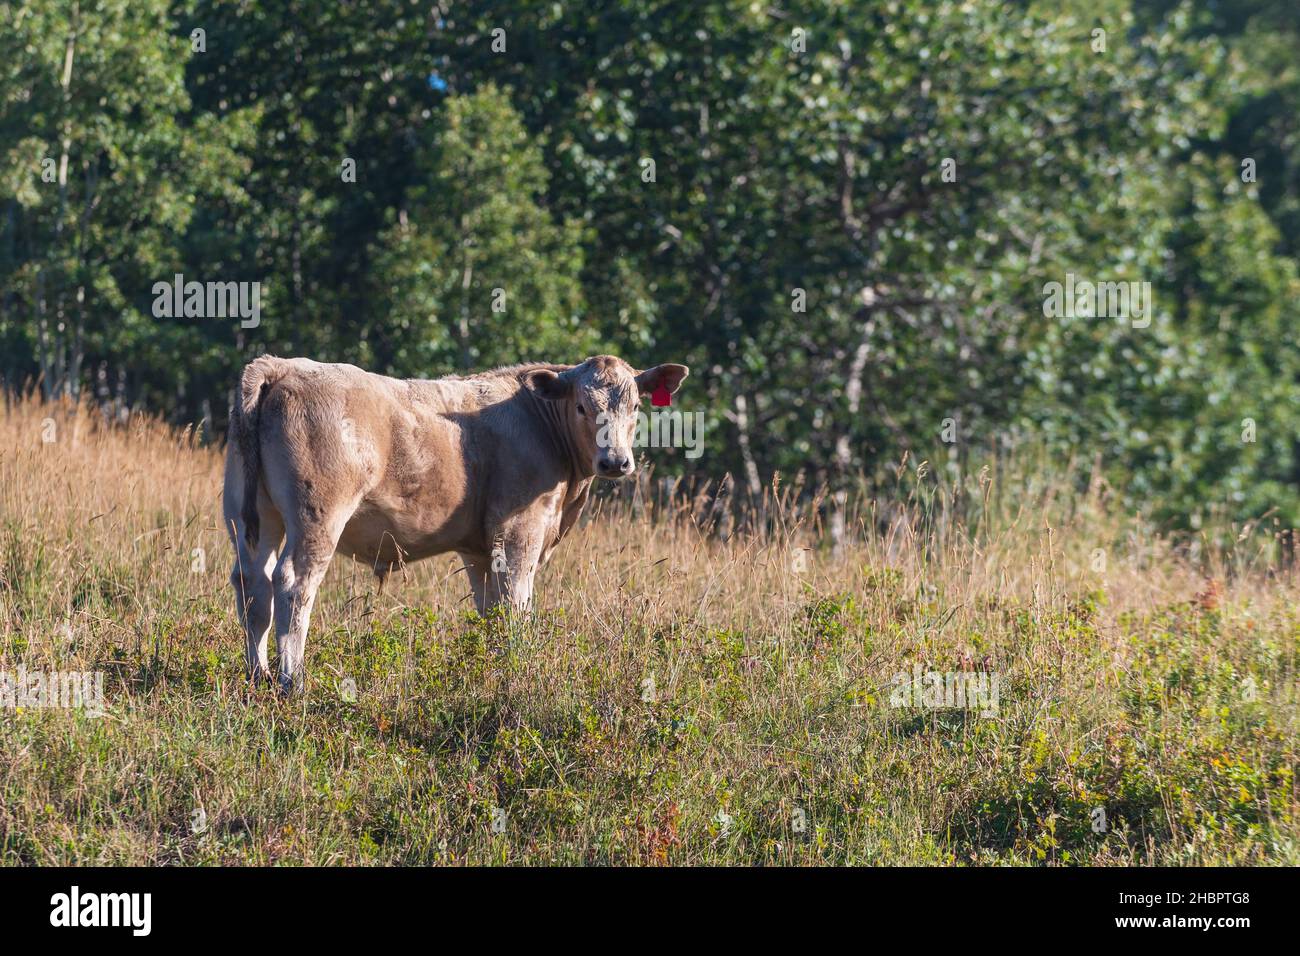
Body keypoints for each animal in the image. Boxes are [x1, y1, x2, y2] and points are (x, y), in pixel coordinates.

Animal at [222, 354, 689, 694]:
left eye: (635, 406)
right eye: (581, 406)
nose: (616, 462)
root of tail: (282, 365)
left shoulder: (479, 548)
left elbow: (490, 612)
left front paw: (492, 670)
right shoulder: (518, 533)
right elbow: (516, 607)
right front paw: (518, 671)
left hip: (251, 515)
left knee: (253, 585)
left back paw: (258, 675)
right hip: (317, 515)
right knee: (293, 585)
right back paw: (293, 680)